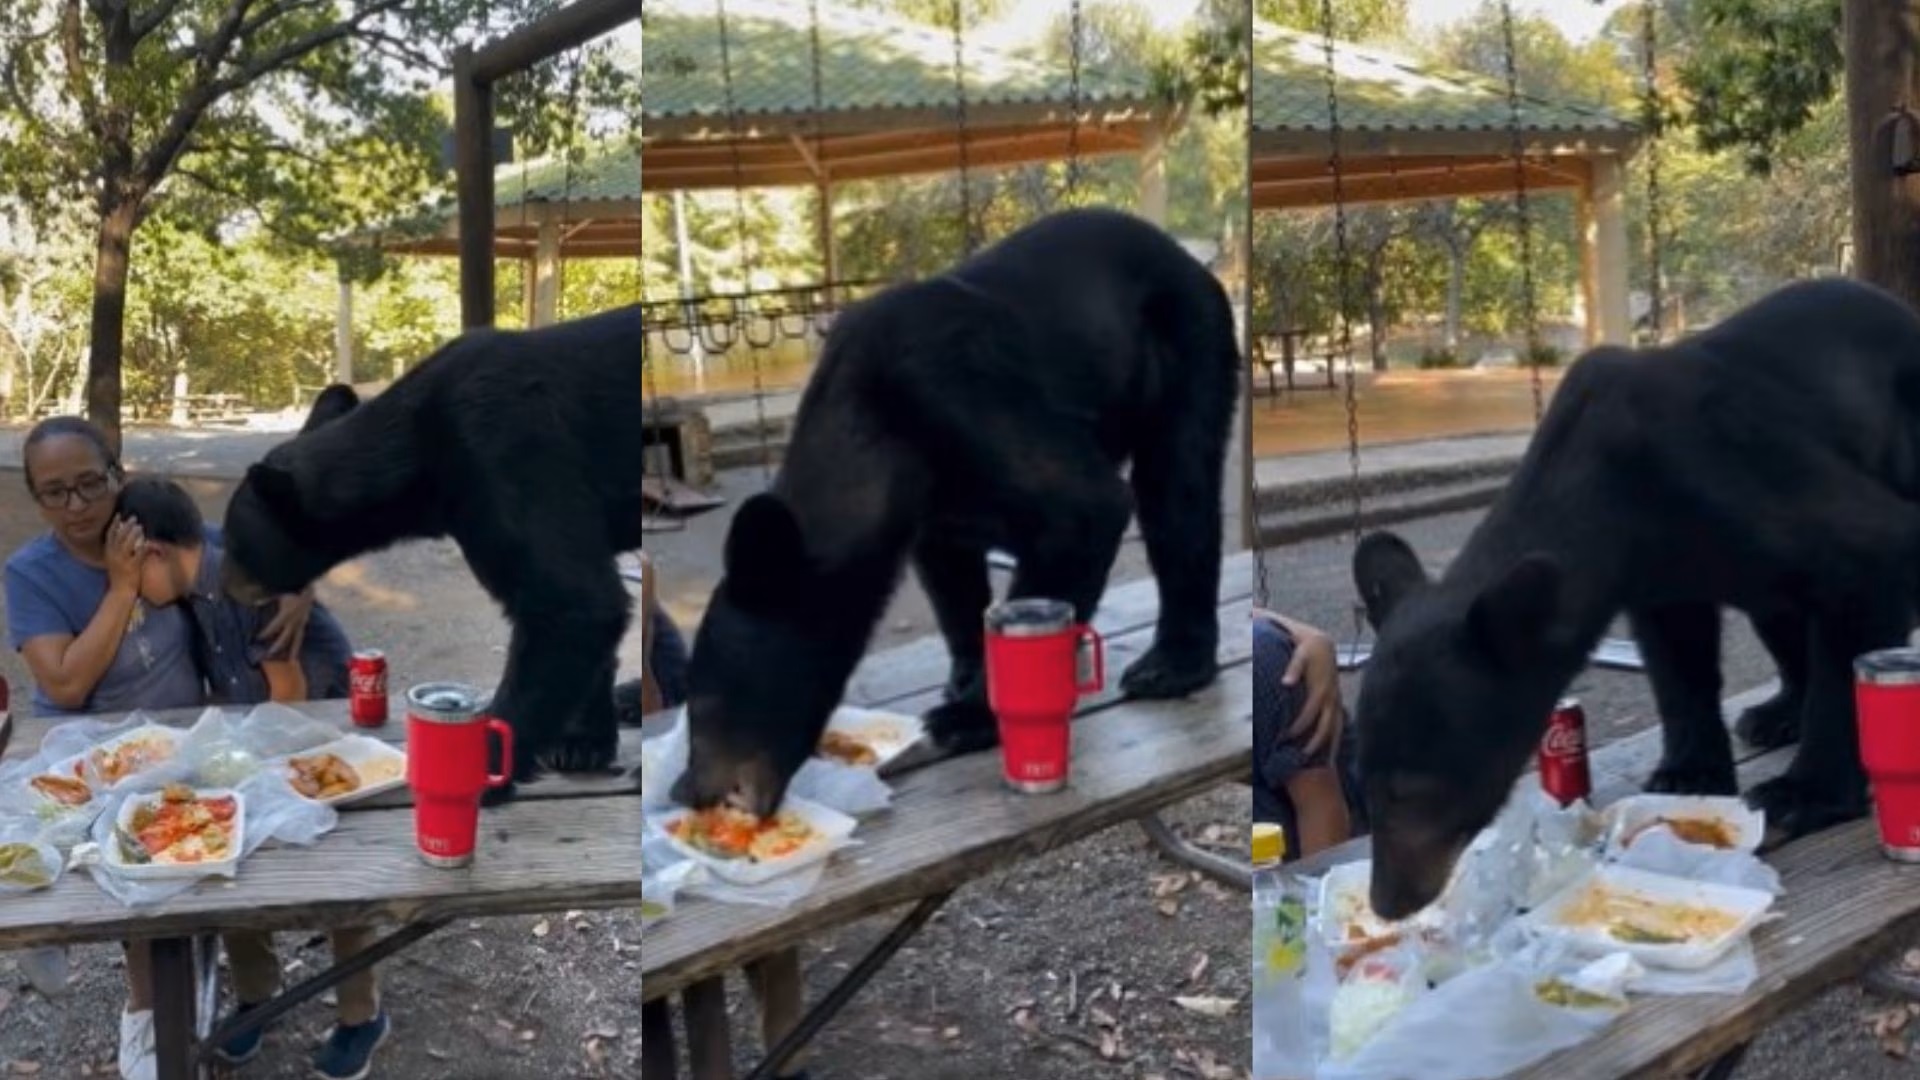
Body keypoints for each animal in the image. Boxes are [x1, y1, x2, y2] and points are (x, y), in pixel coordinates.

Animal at [219, 304, 644, 796]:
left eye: (235, 544)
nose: (225, 586)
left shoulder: (508, 447)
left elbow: (570, 599)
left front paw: (484, 769)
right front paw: (582, 743)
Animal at [670, 208, 1240, 818]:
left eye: (704, 705)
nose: (688, 790)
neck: (879, 431)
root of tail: (1184, 255)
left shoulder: (960, 391)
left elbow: (1087, 506)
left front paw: (967, 715)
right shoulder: (938, 507)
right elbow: (952, 578)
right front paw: (964, 676)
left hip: (1189, 341)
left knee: (1177, 488)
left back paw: (1171, 662)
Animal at [1349, 276, 1920, 920]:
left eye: (1415, 791)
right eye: (1360, 782)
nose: (1389, 901)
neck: (1613, 490)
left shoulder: (1738, 471)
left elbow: (1868, 567)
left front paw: (1807, 792)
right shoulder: (1658, 576)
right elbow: (1676, 660)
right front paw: (1687, 773)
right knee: (1780, 614)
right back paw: (1777, 712)